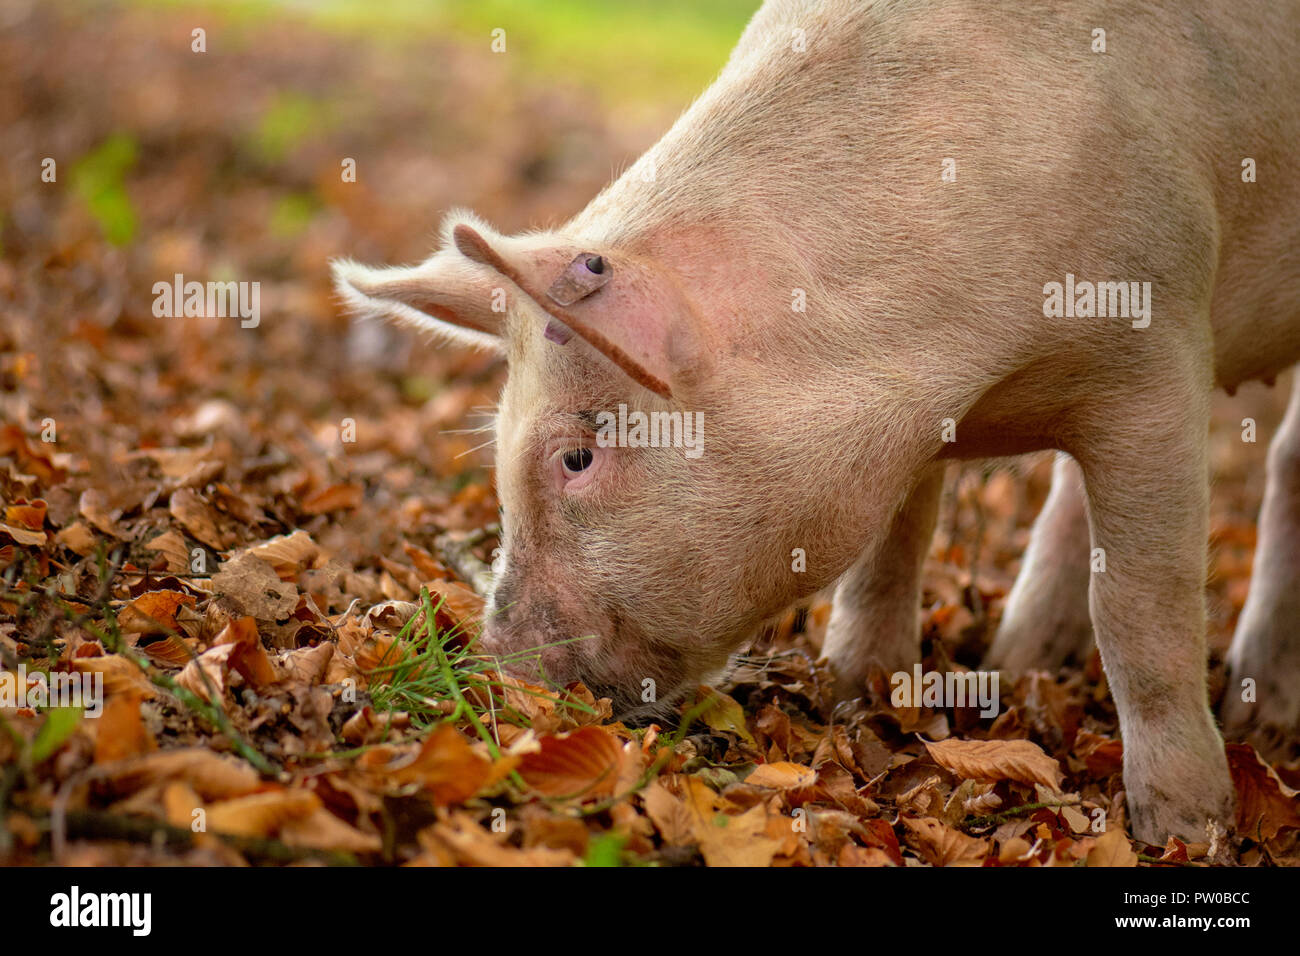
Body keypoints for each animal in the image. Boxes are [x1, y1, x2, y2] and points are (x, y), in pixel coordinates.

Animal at [334, 0, 1300, 845]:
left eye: (575, 457)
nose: (495, 670)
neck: (970, 378)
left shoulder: (1159, 346)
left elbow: (1141, 603)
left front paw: (1188, 830)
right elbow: (887, 556)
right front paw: (852, 696)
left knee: (1282, 464)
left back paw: (1265, 717)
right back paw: (1023, 658)